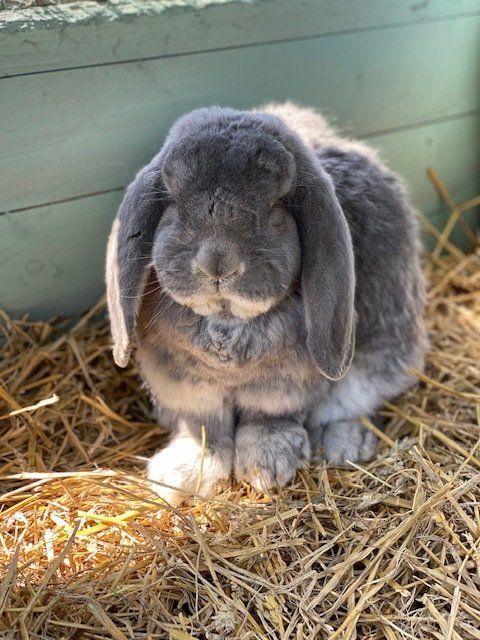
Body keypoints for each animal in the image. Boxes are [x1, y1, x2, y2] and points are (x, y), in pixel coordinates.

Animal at [106, 102, 426, 505]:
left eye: (276, 207)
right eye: (175, 203)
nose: (217, 263)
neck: (227, 323)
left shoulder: (281, 389)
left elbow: (267, 421)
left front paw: (266, 467)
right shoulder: (188, 387)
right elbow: (204, 428)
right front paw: (184, 474)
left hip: (380, 357)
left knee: (353, 403)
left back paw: (343, 445)